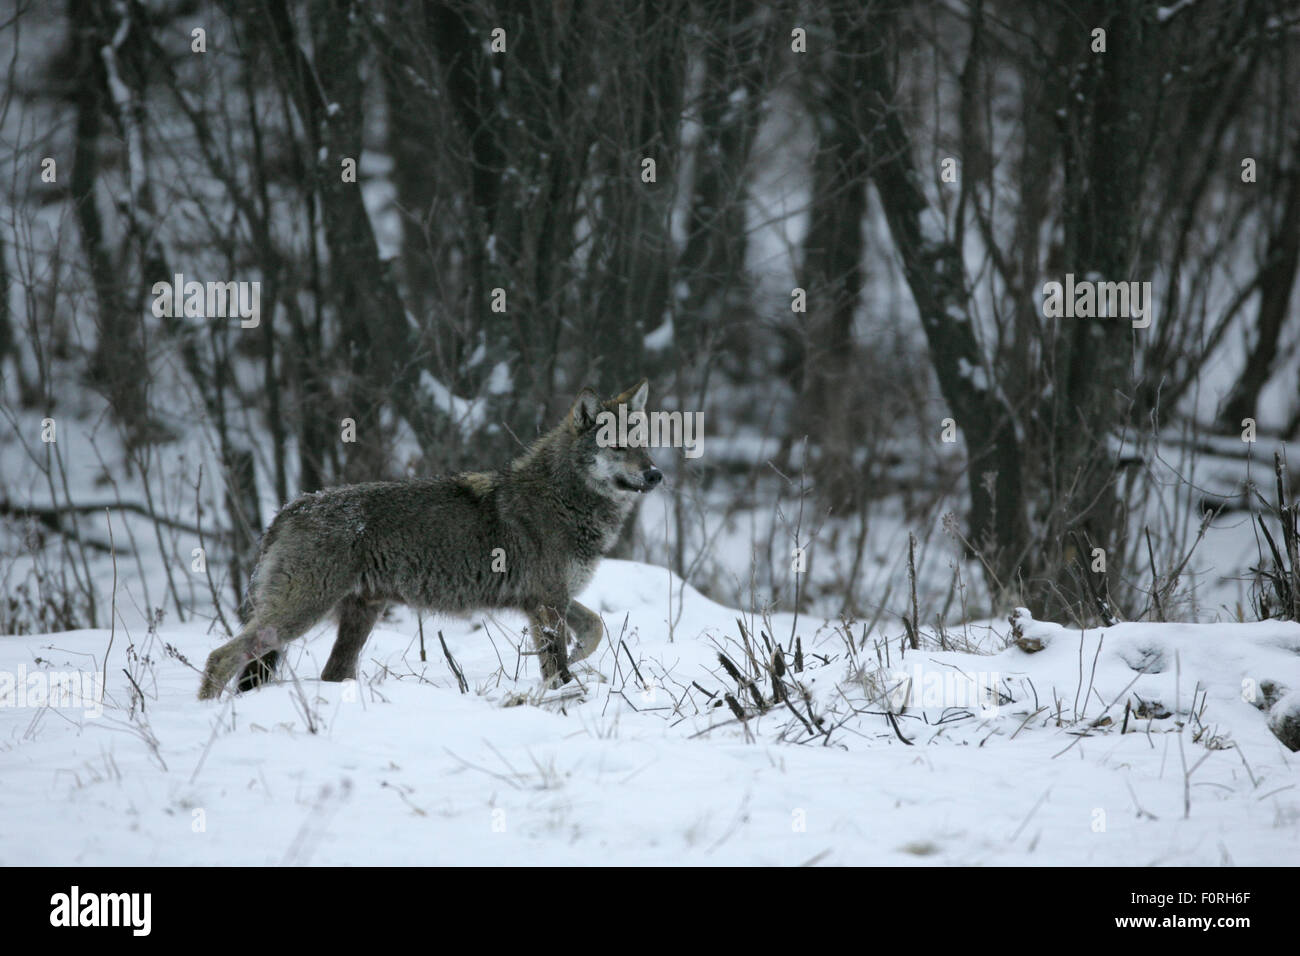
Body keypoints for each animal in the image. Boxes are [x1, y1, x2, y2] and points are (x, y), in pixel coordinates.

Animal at [198, 380, 660, 700]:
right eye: (618, 447)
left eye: (645, 445)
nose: (655, 474)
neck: (564, 498)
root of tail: (290, 507)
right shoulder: (546, 603)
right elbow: (558, 667)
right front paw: (566, 692)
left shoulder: (549, 599)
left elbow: (596, 627)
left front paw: (580, 656)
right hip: (298, 616)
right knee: (220, 657)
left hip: (357, 617)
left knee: (329, 674)